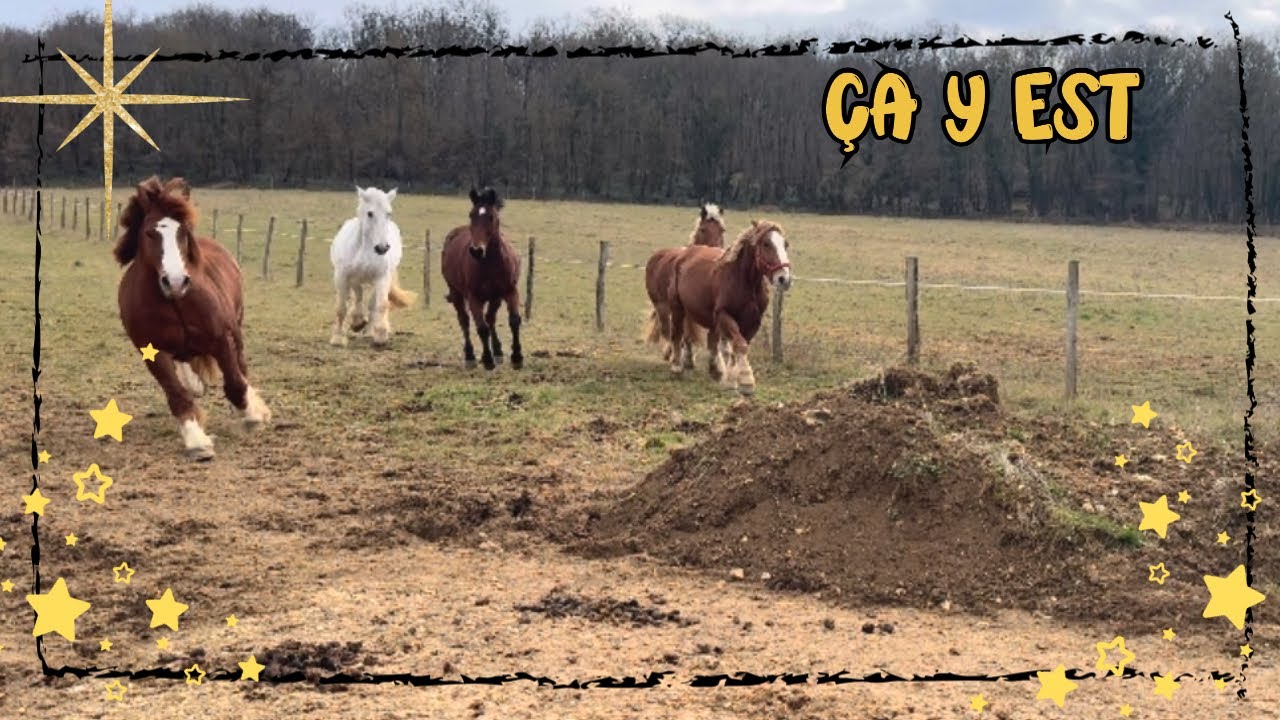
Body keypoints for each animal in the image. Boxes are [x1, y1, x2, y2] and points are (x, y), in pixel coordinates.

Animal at [114, 176, 271, 460]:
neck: (176, 301)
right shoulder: (153, 353)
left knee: (241, 368)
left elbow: (235, 383)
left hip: (236, 330)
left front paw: (252, 417)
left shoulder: (220, 338)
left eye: (183, 232)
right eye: (150, 233)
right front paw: (197, 442)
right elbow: (177, 395)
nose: (176, 281)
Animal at [329, 186, 415, 347]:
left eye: (389, 213)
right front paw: (337, 338)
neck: (364, 248)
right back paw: (357, 322)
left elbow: (381, 305)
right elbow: (341, 307)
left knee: (371, 303)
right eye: (370, 213)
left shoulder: (382, 277)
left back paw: (368, 330)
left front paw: (380, 334)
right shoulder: (342, 277)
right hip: (355, 279)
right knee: (359, 295)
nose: (382, 248)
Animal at [440, 186, 523, 370]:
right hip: (456, 293)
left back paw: (498, 352)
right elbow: (481, 328)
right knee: (464, 321)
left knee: (490, 318)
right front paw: (487, 360)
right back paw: (470, 356)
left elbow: (514, 321)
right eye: (471, 214)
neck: (490, 263)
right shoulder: (474, 298)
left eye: (491, 217)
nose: (476, 250)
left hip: (495, 297)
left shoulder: (510, 291)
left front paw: (517, 357)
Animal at [644, 202, 726, 367]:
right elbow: (683, 334)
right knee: (667, 330)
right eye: (703, 229)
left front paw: (689, 358)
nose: (717, 253)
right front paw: (683, 358)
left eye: (722, 230)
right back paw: (671, 355)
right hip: (661, 306)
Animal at [667, 219, 793, 396]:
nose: (784, 279)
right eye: (766, 244)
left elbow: (738, 346)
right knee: (678, 334)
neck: (744, 282)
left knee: (708, 340)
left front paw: (732, 379)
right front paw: (746, 381)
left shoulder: (753, 321)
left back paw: (714, 370)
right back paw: (677, 367)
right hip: (678, 308)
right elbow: (740, 344)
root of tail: (684, 254)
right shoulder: (724, 315)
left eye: (785, 244)